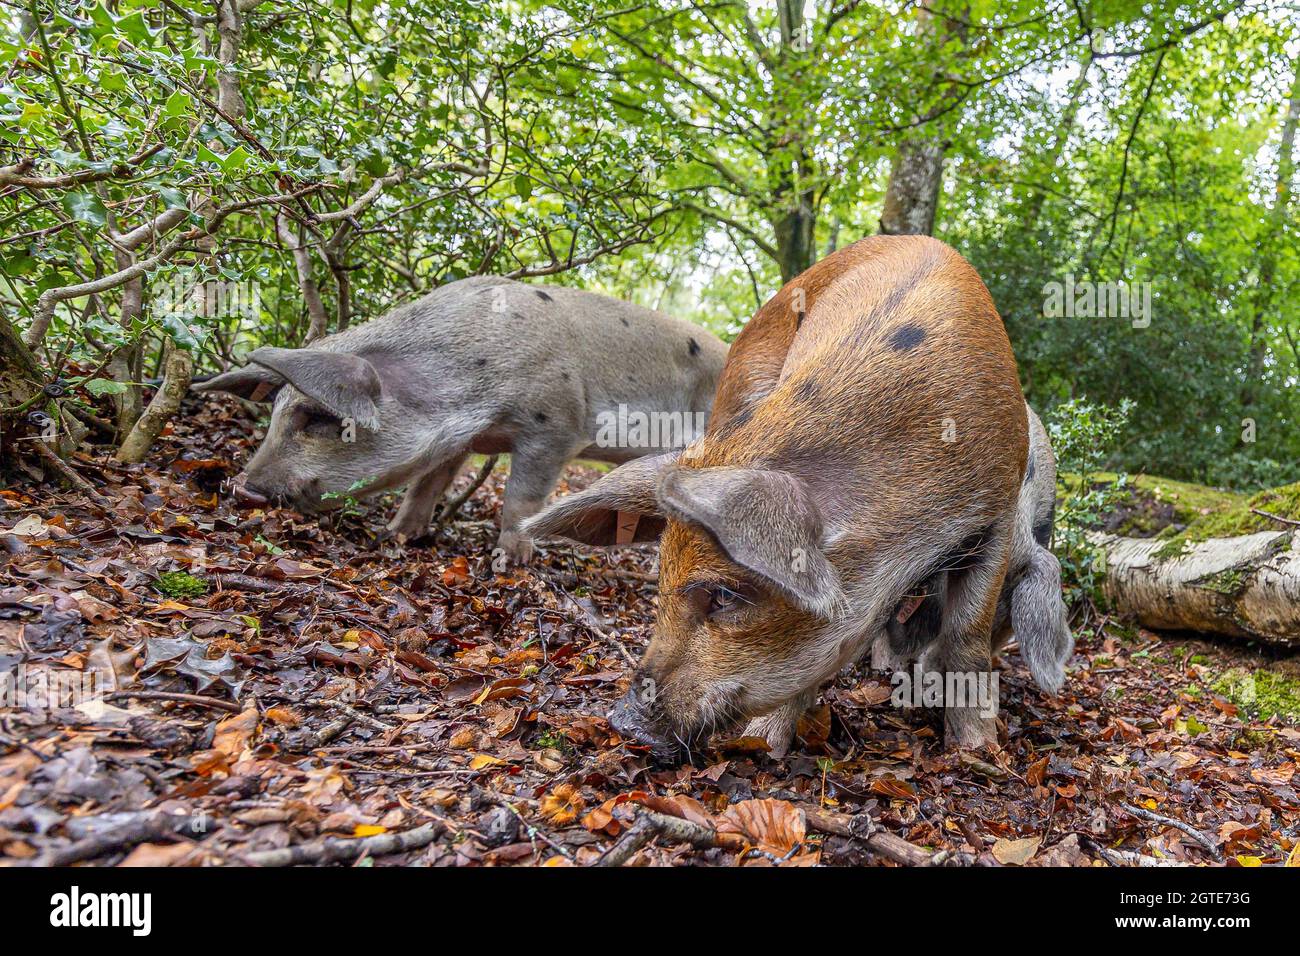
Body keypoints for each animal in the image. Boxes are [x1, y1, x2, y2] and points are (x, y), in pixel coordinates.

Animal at [194, 276, 728, 562]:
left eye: (316, 418)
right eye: (276, 411)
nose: (243, 487)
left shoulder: (555, 423)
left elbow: (521, 499)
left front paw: (508, 561)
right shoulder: (458, 440)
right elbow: (424, 486)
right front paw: (396, 536)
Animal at [521, 235, 1073, 758]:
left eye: (725, 595)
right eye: (660, 578)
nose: (621, 722)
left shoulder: (998, 513)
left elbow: (966, 642)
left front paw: (978, 751)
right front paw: (764, 746)